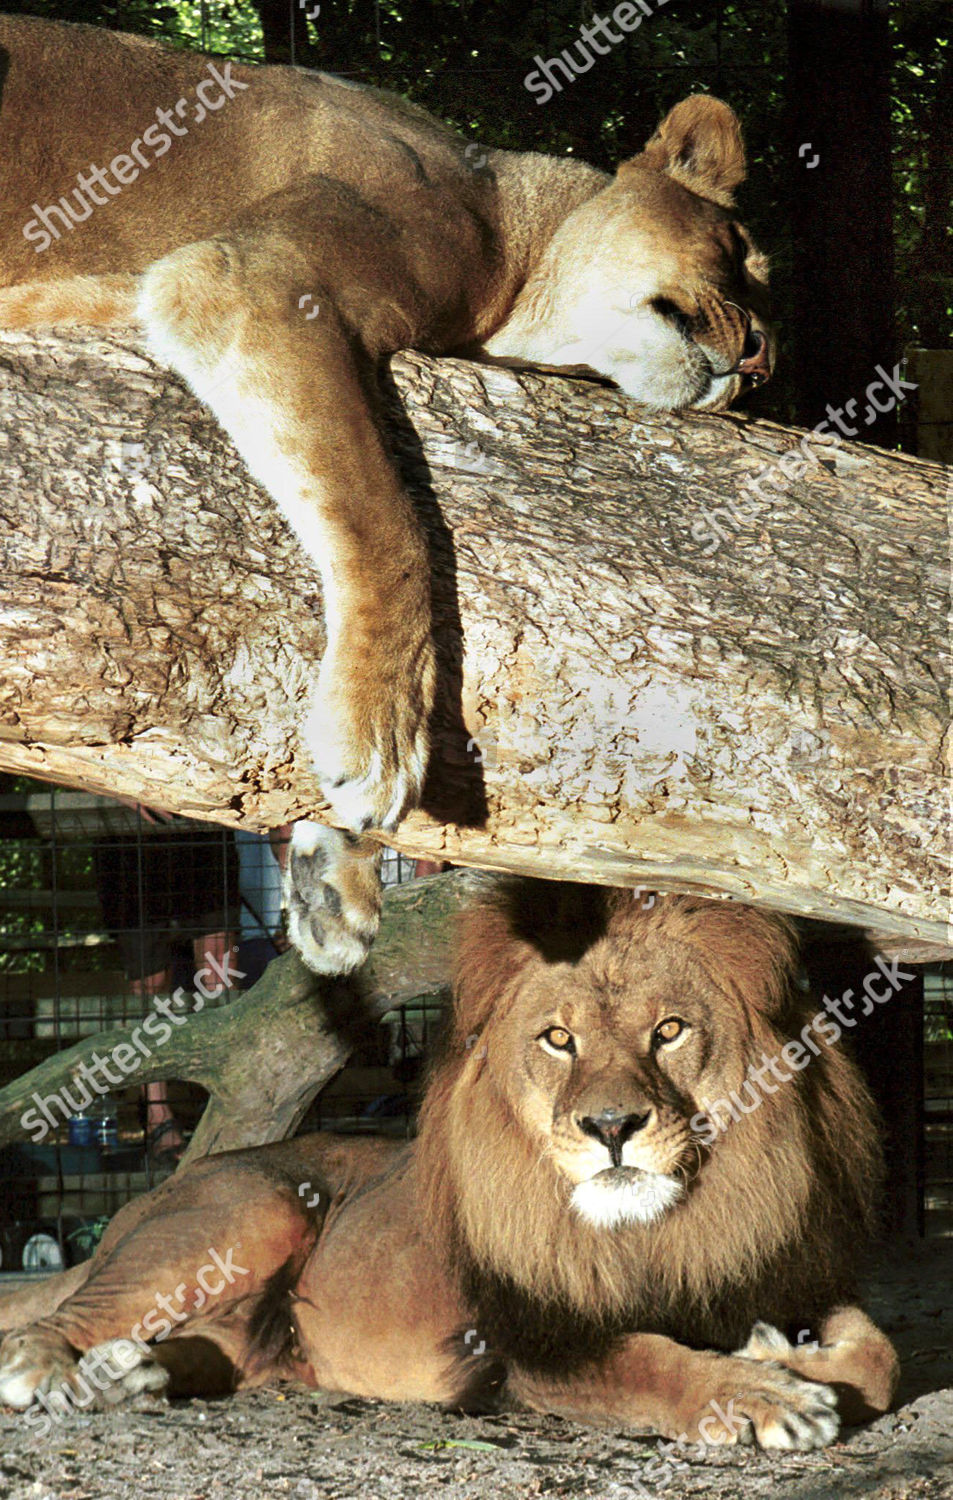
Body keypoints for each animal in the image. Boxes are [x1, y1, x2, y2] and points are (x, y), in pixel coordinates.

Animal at [0, 17, 773, 974]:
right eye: (737, 255)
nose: (761, 358)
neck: (509, 264)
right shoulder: (251, 279)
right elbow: (382, 519)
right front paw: (375, 734)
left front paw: (336, 873)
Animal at [0, 885, 898, 1450]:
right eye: (558, 1039)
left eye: (669, 1031)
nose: (610, 1127)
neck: (666, 1227)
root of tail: (144, 1201)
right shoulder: (538, 1343)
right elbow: (653, 1359)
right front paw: (765, 1394)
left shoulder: (787, 1271)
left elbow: (879, 1357)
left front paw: (772, 1351)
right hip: (252, 1207)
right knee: (51, 1322)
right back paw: (58, 1374)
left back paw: (128, 1374)